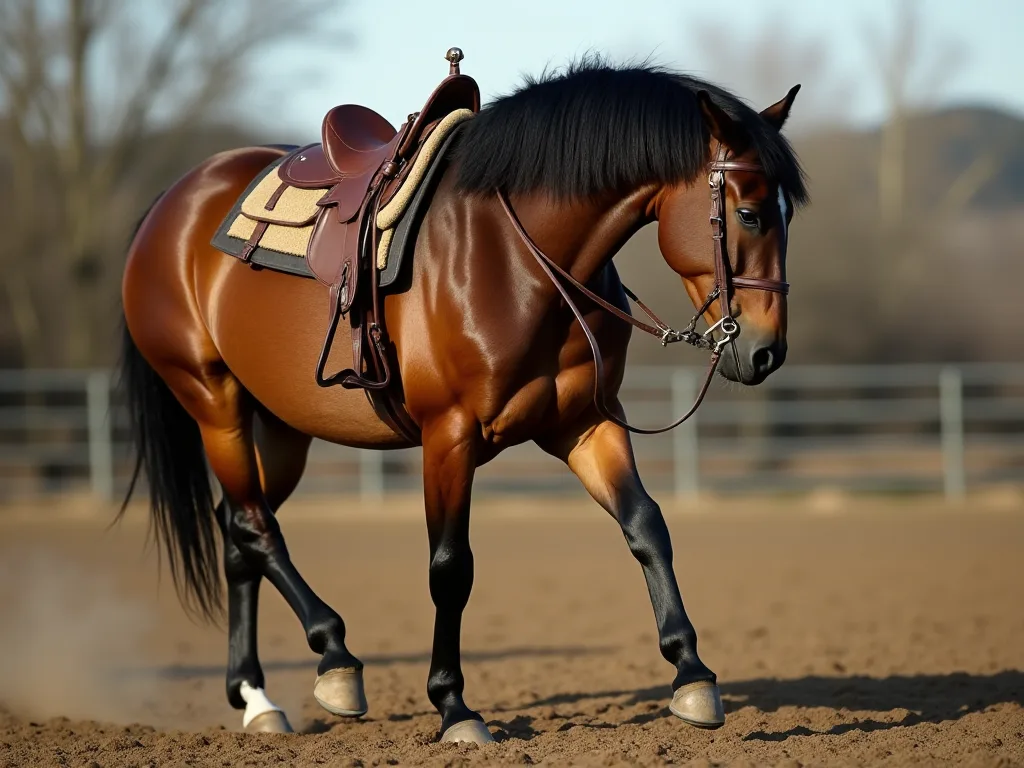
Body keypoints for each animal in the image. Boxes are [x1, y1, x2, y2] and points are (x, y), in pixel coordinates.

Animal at [118, 58, 806, 743]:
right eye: (749, 214)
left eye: (787, 214)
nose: (767, 351)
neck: (514, 257)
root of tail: (174, 200)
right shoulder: (448, 436)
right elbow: (450, 568)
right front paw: (454, 706)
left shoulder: (585, 424)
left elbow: (646, 527)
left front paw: (693, 674)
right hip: (213, 400)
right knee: (255, 528)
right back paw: (333, 658)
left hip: (282, 428)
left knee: (238, 531)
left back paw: (255, 696)